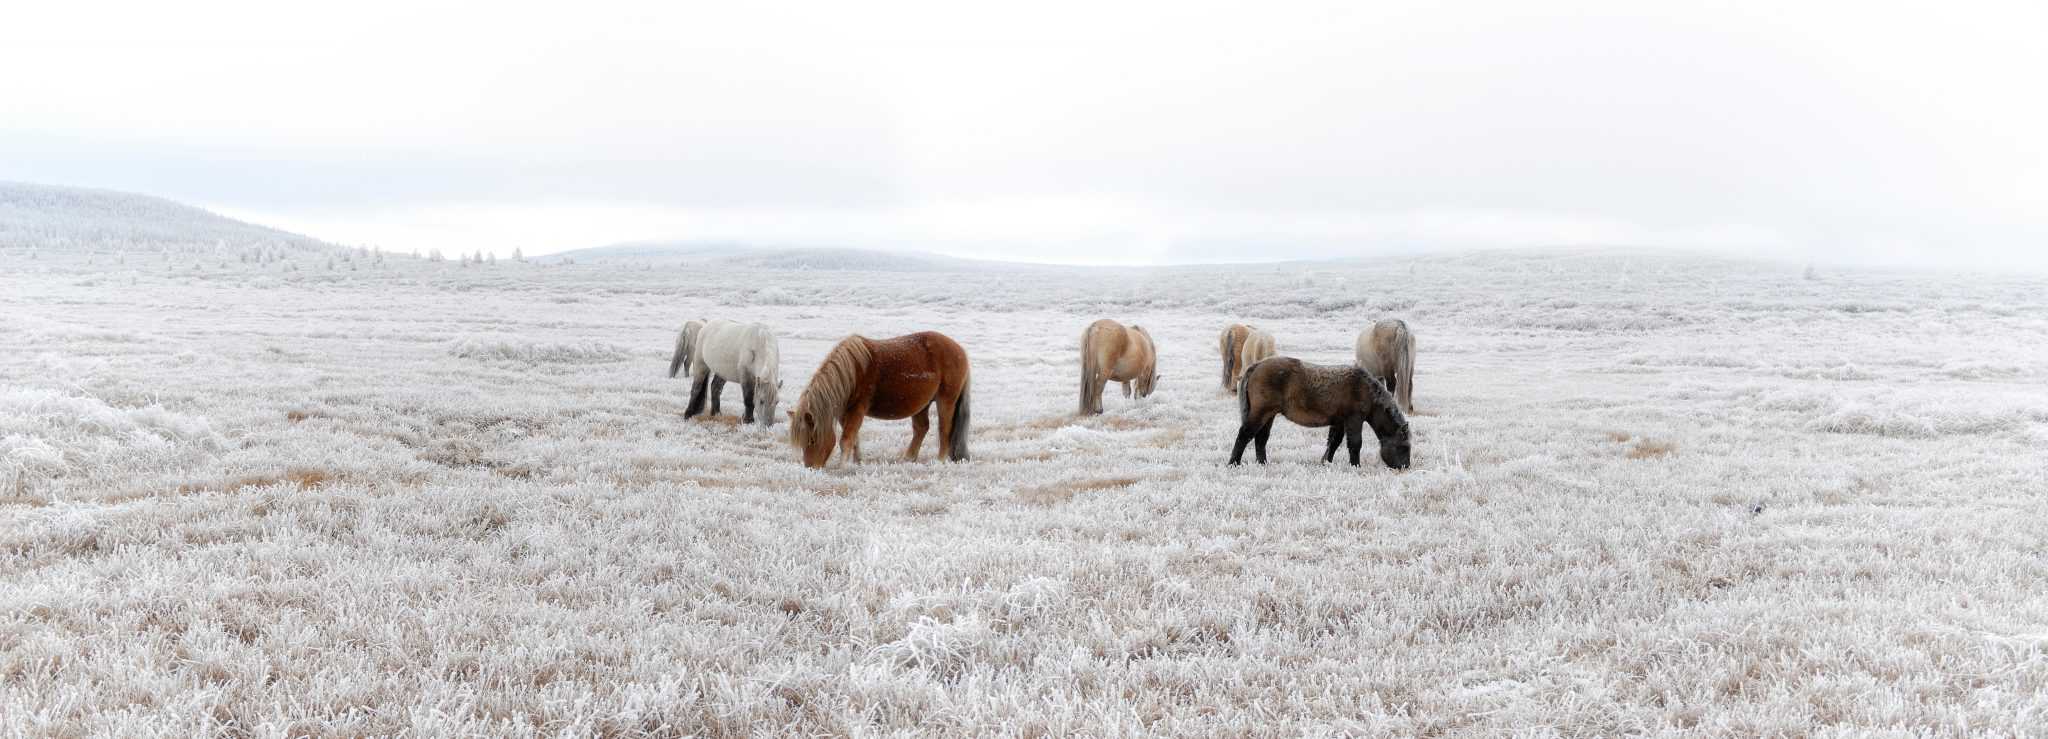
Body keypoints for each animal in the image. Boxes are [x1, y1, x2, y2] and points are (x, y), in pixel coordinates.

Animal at [787, 332, 971, 468]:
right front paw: (858, 462)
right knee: (921, 428)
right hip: (922, 404)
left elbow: (846, 439)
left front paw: (842, 467)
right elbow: (854, 438)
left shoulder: (857, 410)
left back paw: (939, 461)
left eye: (812, 439)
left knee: (944, 430)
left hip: (946, 401)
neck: (852, 372)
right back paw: (908, 458)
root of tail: (960, 350)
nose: (811, 468)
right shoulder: (844, 413)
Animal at [1229, 356, 1410, 469]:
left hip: (1269, 416)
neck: (1365, 390)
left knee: (1261, 439)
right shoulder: (1354, 420)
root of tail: (1257, 365)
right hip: (1261, 413)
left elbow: (1334, 442)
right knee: (1244, 435)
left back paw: (1263, 464)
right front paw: (1355, 466)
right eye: (1404, 448)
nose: (1405, 467)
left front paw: (1326, 462)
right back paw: (1233, 464)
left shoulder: (1339, 421)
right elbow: (1355, 443)